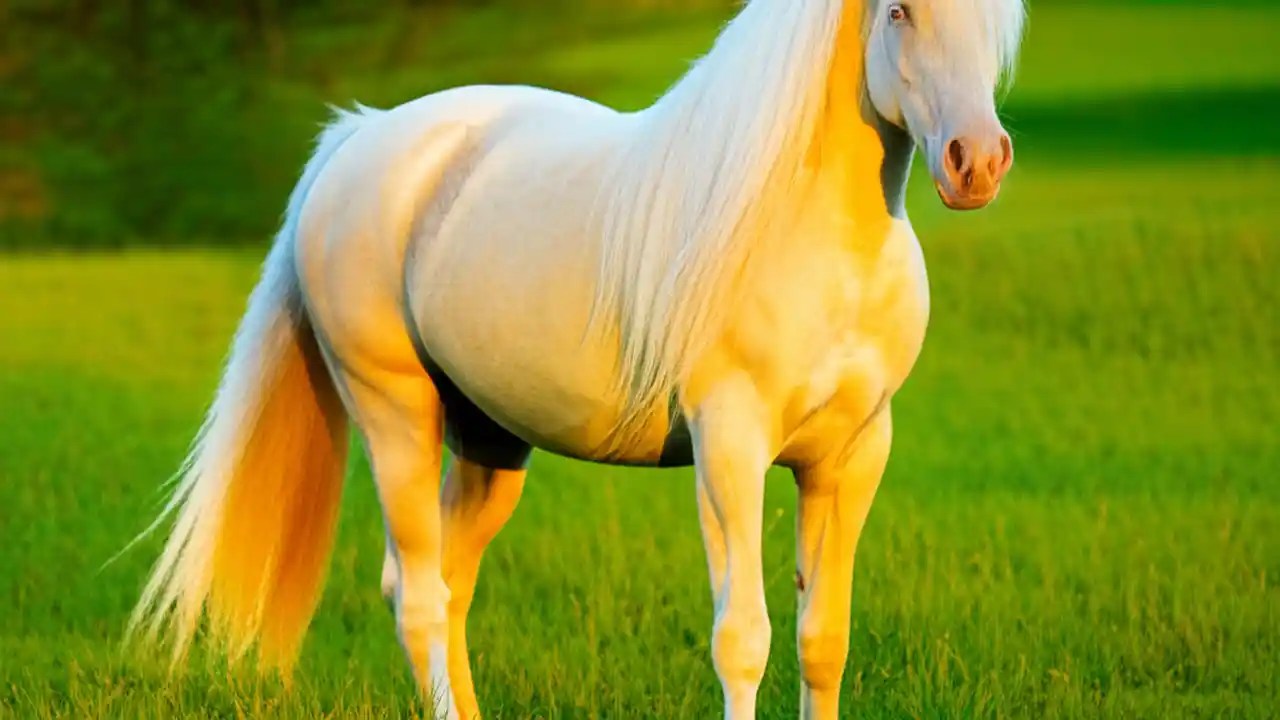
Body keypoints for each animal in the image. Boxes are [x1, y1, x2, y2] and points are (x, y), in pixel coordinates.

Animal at [129, 0, 1024, 717]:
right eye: (899, 10)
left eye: (995, 15)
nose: (975, 162)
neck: (807, 240)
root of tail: (360, 136)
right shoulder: (729, 449)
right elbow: (744, 640)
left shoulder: (851, 456)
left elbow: (822, 640)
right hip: (394, 416)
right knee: (415, 594)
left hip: (490, 444)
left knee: (444, 588)